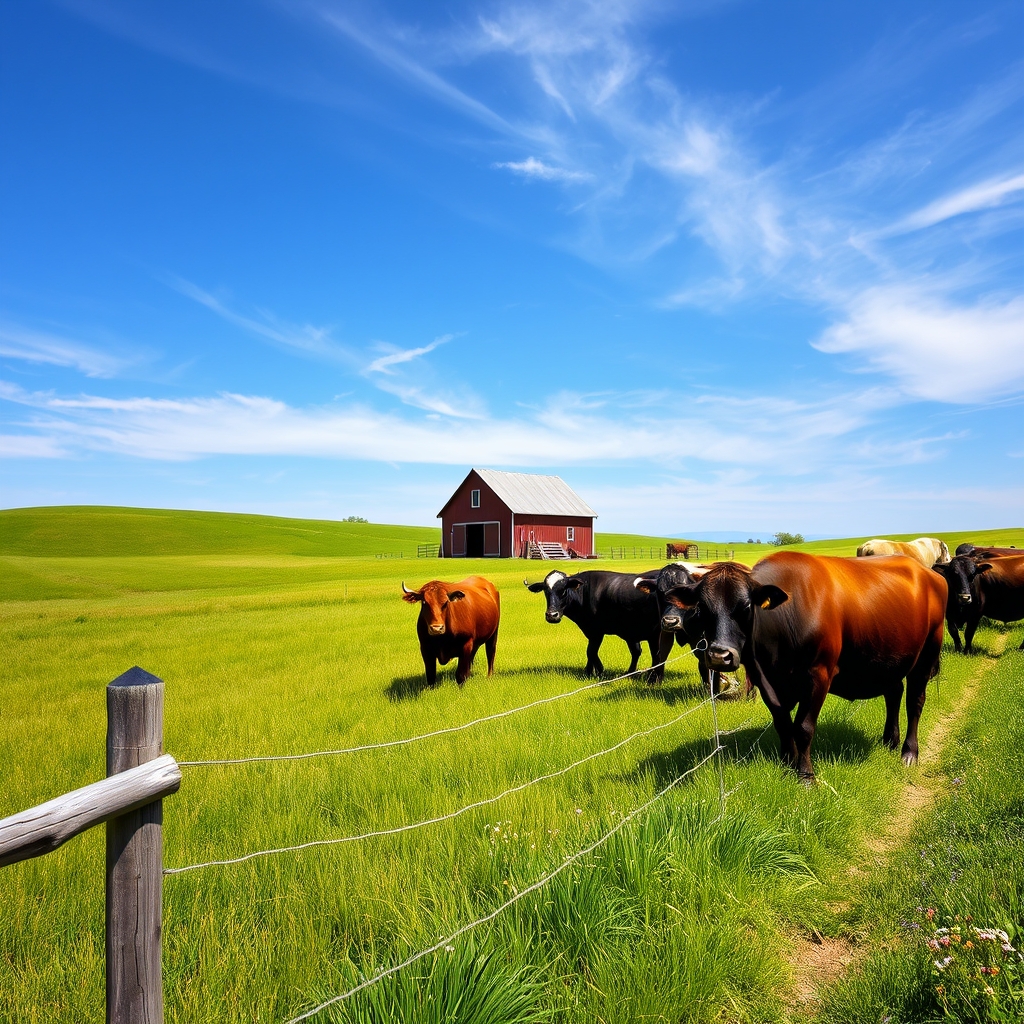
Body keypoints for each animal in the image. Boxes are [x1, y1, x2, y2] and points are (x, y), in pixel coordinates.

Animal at [524, 569, 673, 682]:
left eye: (563, 589)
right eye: (545, 591)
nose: (552, 615)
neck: (584, 593)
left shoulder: (596, 632)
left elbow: (591, 651)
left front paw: (599, 671)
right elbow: (594, 652)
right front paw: (590, 671)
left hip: (656, 635)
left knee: (658, 656)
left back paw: (654, 678)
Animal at [655, 552, 945, 781]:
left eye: (746, 606)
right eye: (702, 607)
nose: (719, 656)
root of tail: (929, 573)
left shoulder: (819, 675)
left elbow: (803, 727)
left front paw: (805, 775)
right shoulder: (764, 679)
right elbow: (783, 723)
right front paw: (787, 764)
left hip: (927, 653)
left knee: (915, 701)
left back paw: (909, 752)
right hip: (889, 659)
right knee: (893, 693)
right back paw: (889, 740)